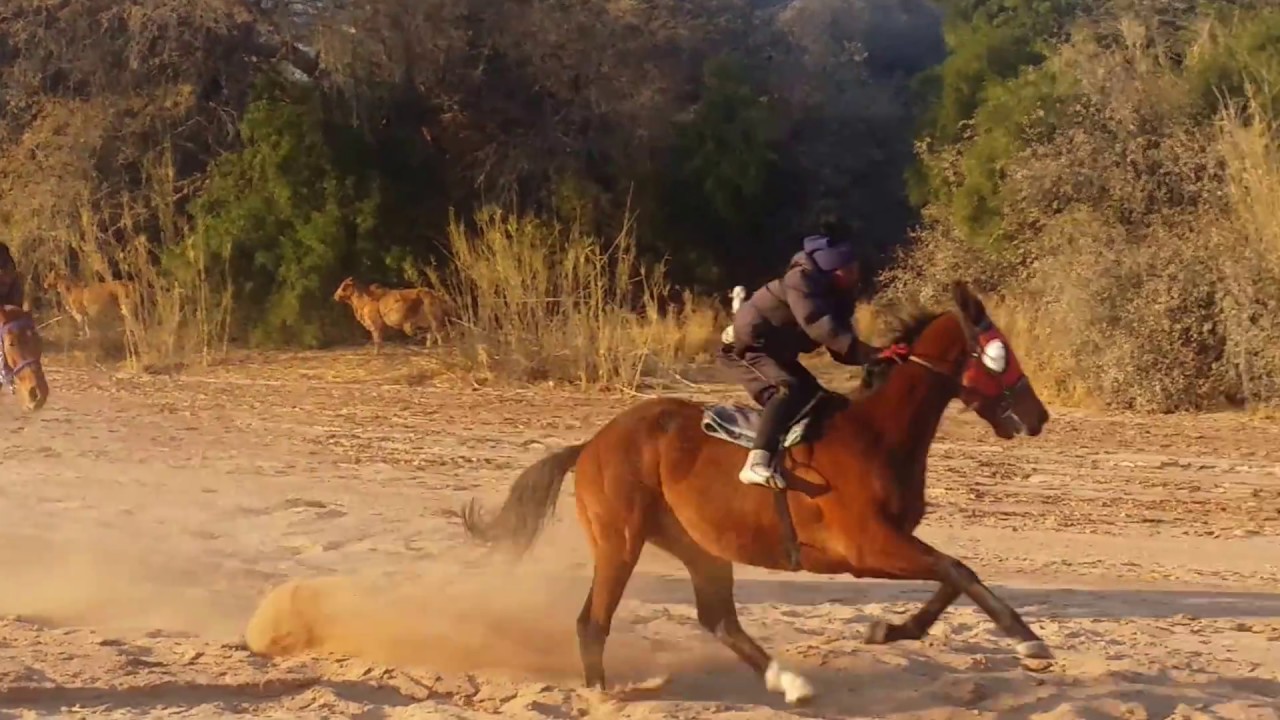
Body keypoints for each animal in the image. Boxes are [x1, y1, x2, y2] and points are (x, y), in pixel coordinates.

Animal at [460, 281, 1051, 705]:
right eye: (1000, 354)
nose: (1039, 415)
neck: (878, 434)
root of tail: (591, 444)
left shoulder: (890, 544)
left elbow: (951, 578)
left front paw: (890, 629)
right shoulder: (866, 548)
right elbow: (958, 570)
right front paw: (1027, 638)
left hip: (700, 546)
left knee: (718, 618)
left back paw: (789, 683)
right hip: (618, 541)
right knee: (593, 621)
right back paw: (602, 693)